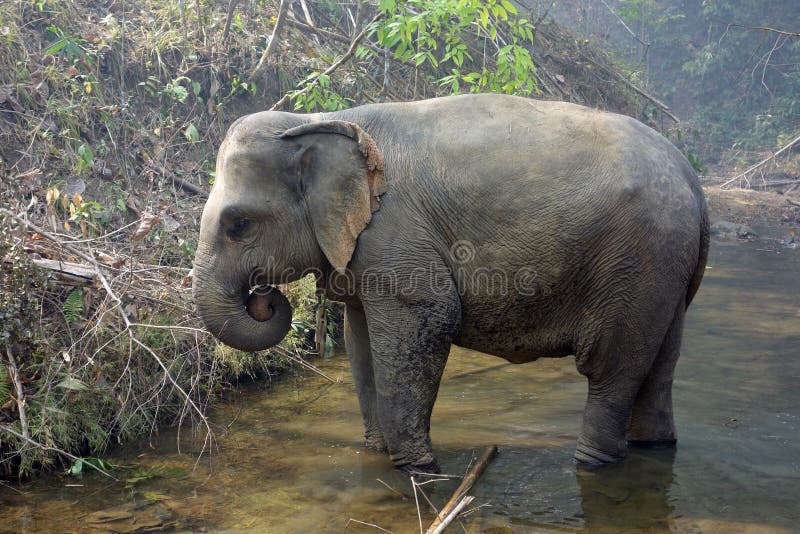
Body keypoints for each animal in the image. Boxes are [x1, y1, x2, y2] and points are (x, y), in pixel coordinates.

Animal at [192, 94, 709, 473]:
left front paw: (418, 469)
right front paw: (377, 453)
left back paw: (590, 464)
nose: (265, 298)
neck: (321, 120)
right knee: (660, 367)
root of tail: (692, 178)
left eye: (239, 225)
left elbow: (429, 317)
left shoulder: (395, 236)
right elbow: (360, 343)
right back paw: (654, 447)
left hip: (637, 261)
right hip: (665, 273)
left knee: (610, 369)